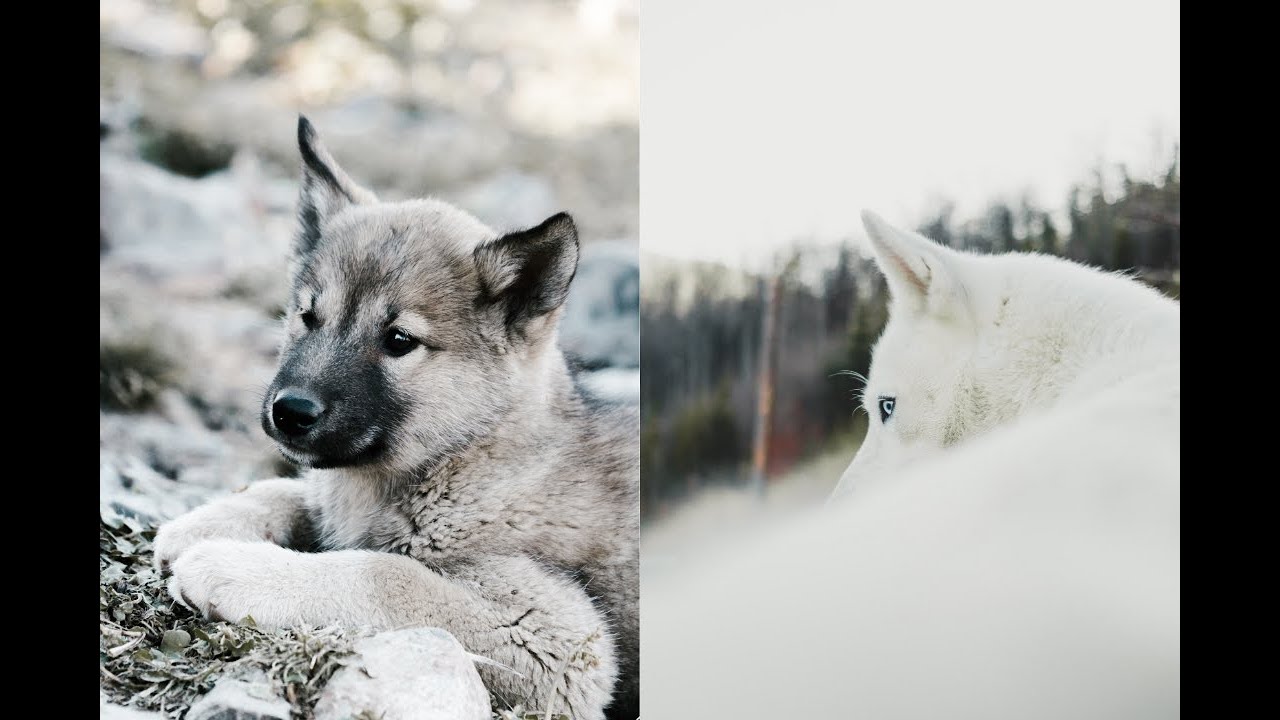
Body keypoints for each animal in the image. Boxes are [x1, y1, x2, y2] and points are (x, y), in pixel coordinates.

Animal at [153, 117, 639, 720]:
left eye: (399, 341)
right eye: (308, 316)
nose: (289, 411)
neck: (467, 460)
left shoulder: (557, 639)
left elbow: (385, 572)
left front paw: (229, 566)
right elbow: (291, 491)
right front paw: (203, 522)